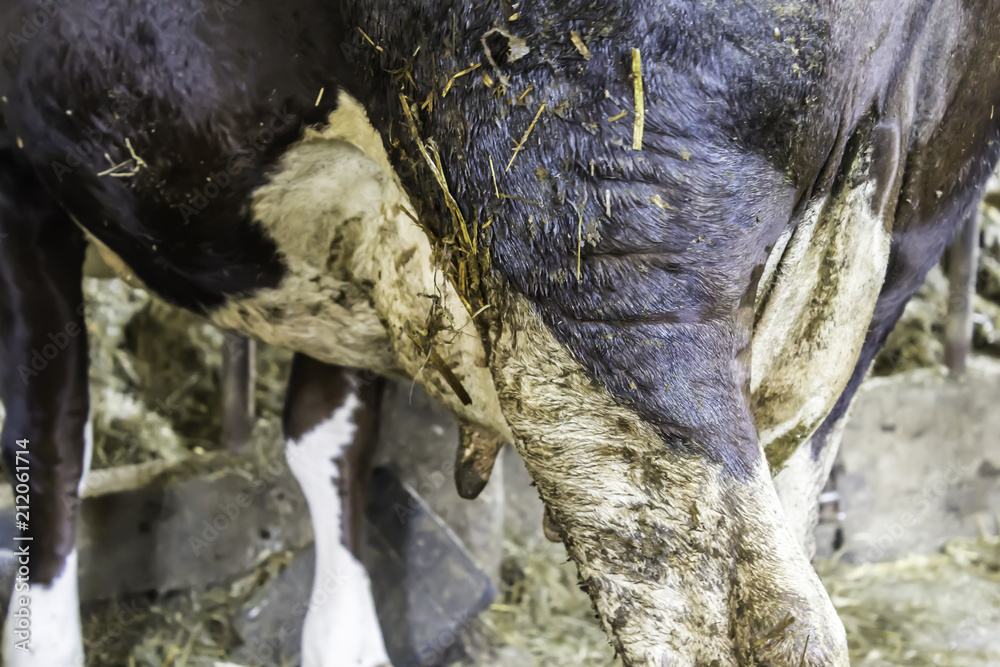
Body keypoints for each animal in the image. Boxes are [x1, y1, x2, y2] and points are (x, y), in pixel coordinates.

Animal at [1, 0, 998, 665]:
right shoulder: (367, 229)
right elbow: (328, 431)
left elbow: (50, 442)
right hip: (883, 267)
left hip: (597, 263)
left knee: (743, 619)